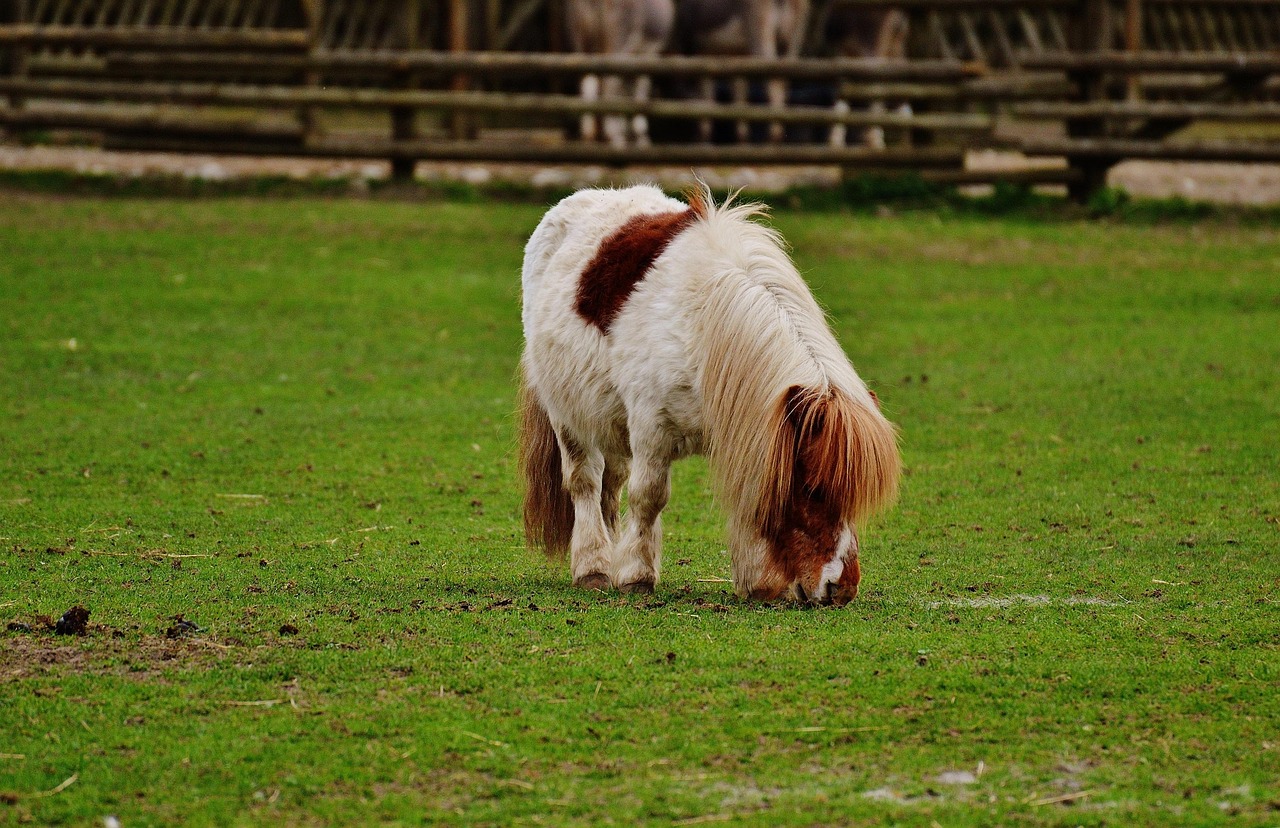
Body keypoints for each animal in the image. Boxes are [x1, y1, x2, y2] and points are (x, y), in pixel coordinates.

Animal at [519, 184, 901, 604]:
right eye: (813, 489)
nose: (842, 589)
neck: (703, 323)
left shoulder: (747, 429)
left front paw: (758, 583)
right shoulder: (651, 426)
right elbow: (649, 496)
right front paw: (637, 575)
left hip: (607, 417)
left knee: (611, 483)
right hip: (567, 413)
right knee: (585, 480)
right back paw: (593, 566)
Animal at [565, 0, 675, 148]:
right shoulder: (647, 55)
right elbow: (638, 89)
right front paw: (640, 136)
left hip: (582, 39)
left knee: (589, 81)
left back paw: (590, 136)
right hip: (619, 39)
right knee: (609, 83)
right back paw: (615, 136)